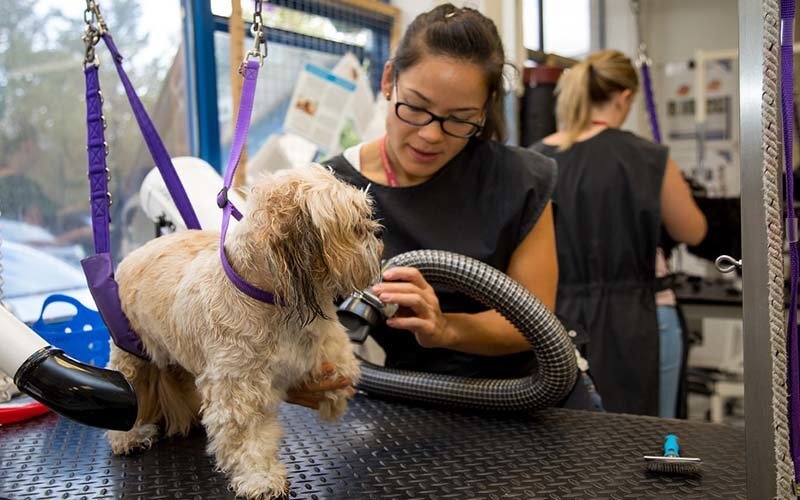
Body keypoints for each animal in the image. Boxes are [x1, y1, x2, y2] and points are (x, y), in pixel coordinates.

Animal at [106, 162, 382, 498]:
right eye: (356, 225)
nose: (377, 233)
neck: (272, 302)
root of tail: (131, 255)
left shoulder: (317, 333)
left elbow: (335, 354)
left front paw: (337, 386)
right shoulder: (238, 388)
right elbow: (248, 438)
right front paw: (260, 478)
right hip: (131, 353)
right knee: (130, 390)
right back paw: (128, 436)